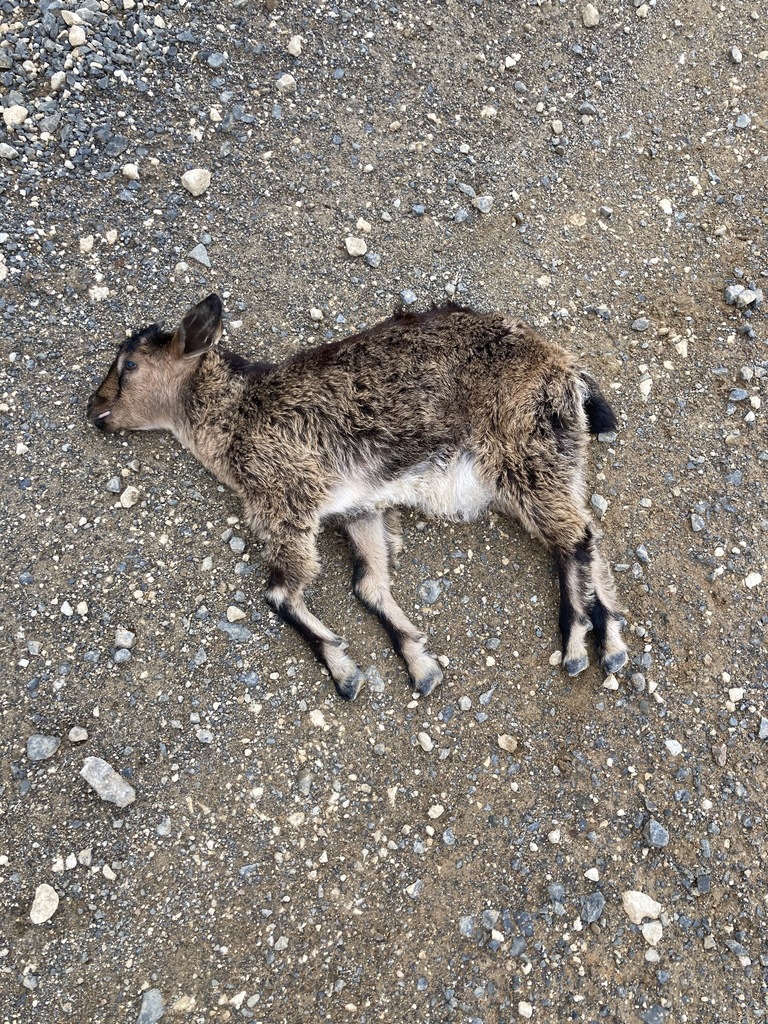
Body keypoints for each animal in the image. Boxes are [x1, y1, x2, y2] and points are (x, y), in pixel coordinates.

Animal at [87, 294, 627, 700]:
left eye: (129, 364)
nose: (94, 410)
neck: (236, 416)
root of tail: (565, 367)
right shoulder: (359, 507)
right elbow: (370, 584)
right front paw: (420, 665)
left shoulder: (285, 497)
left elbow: (281, 593)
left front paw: (344, 672)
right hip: (555, 457)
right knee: (587, 534)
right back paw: (613, 643)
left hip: (522, 450)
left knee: (572, 539)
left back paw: (575, 645)